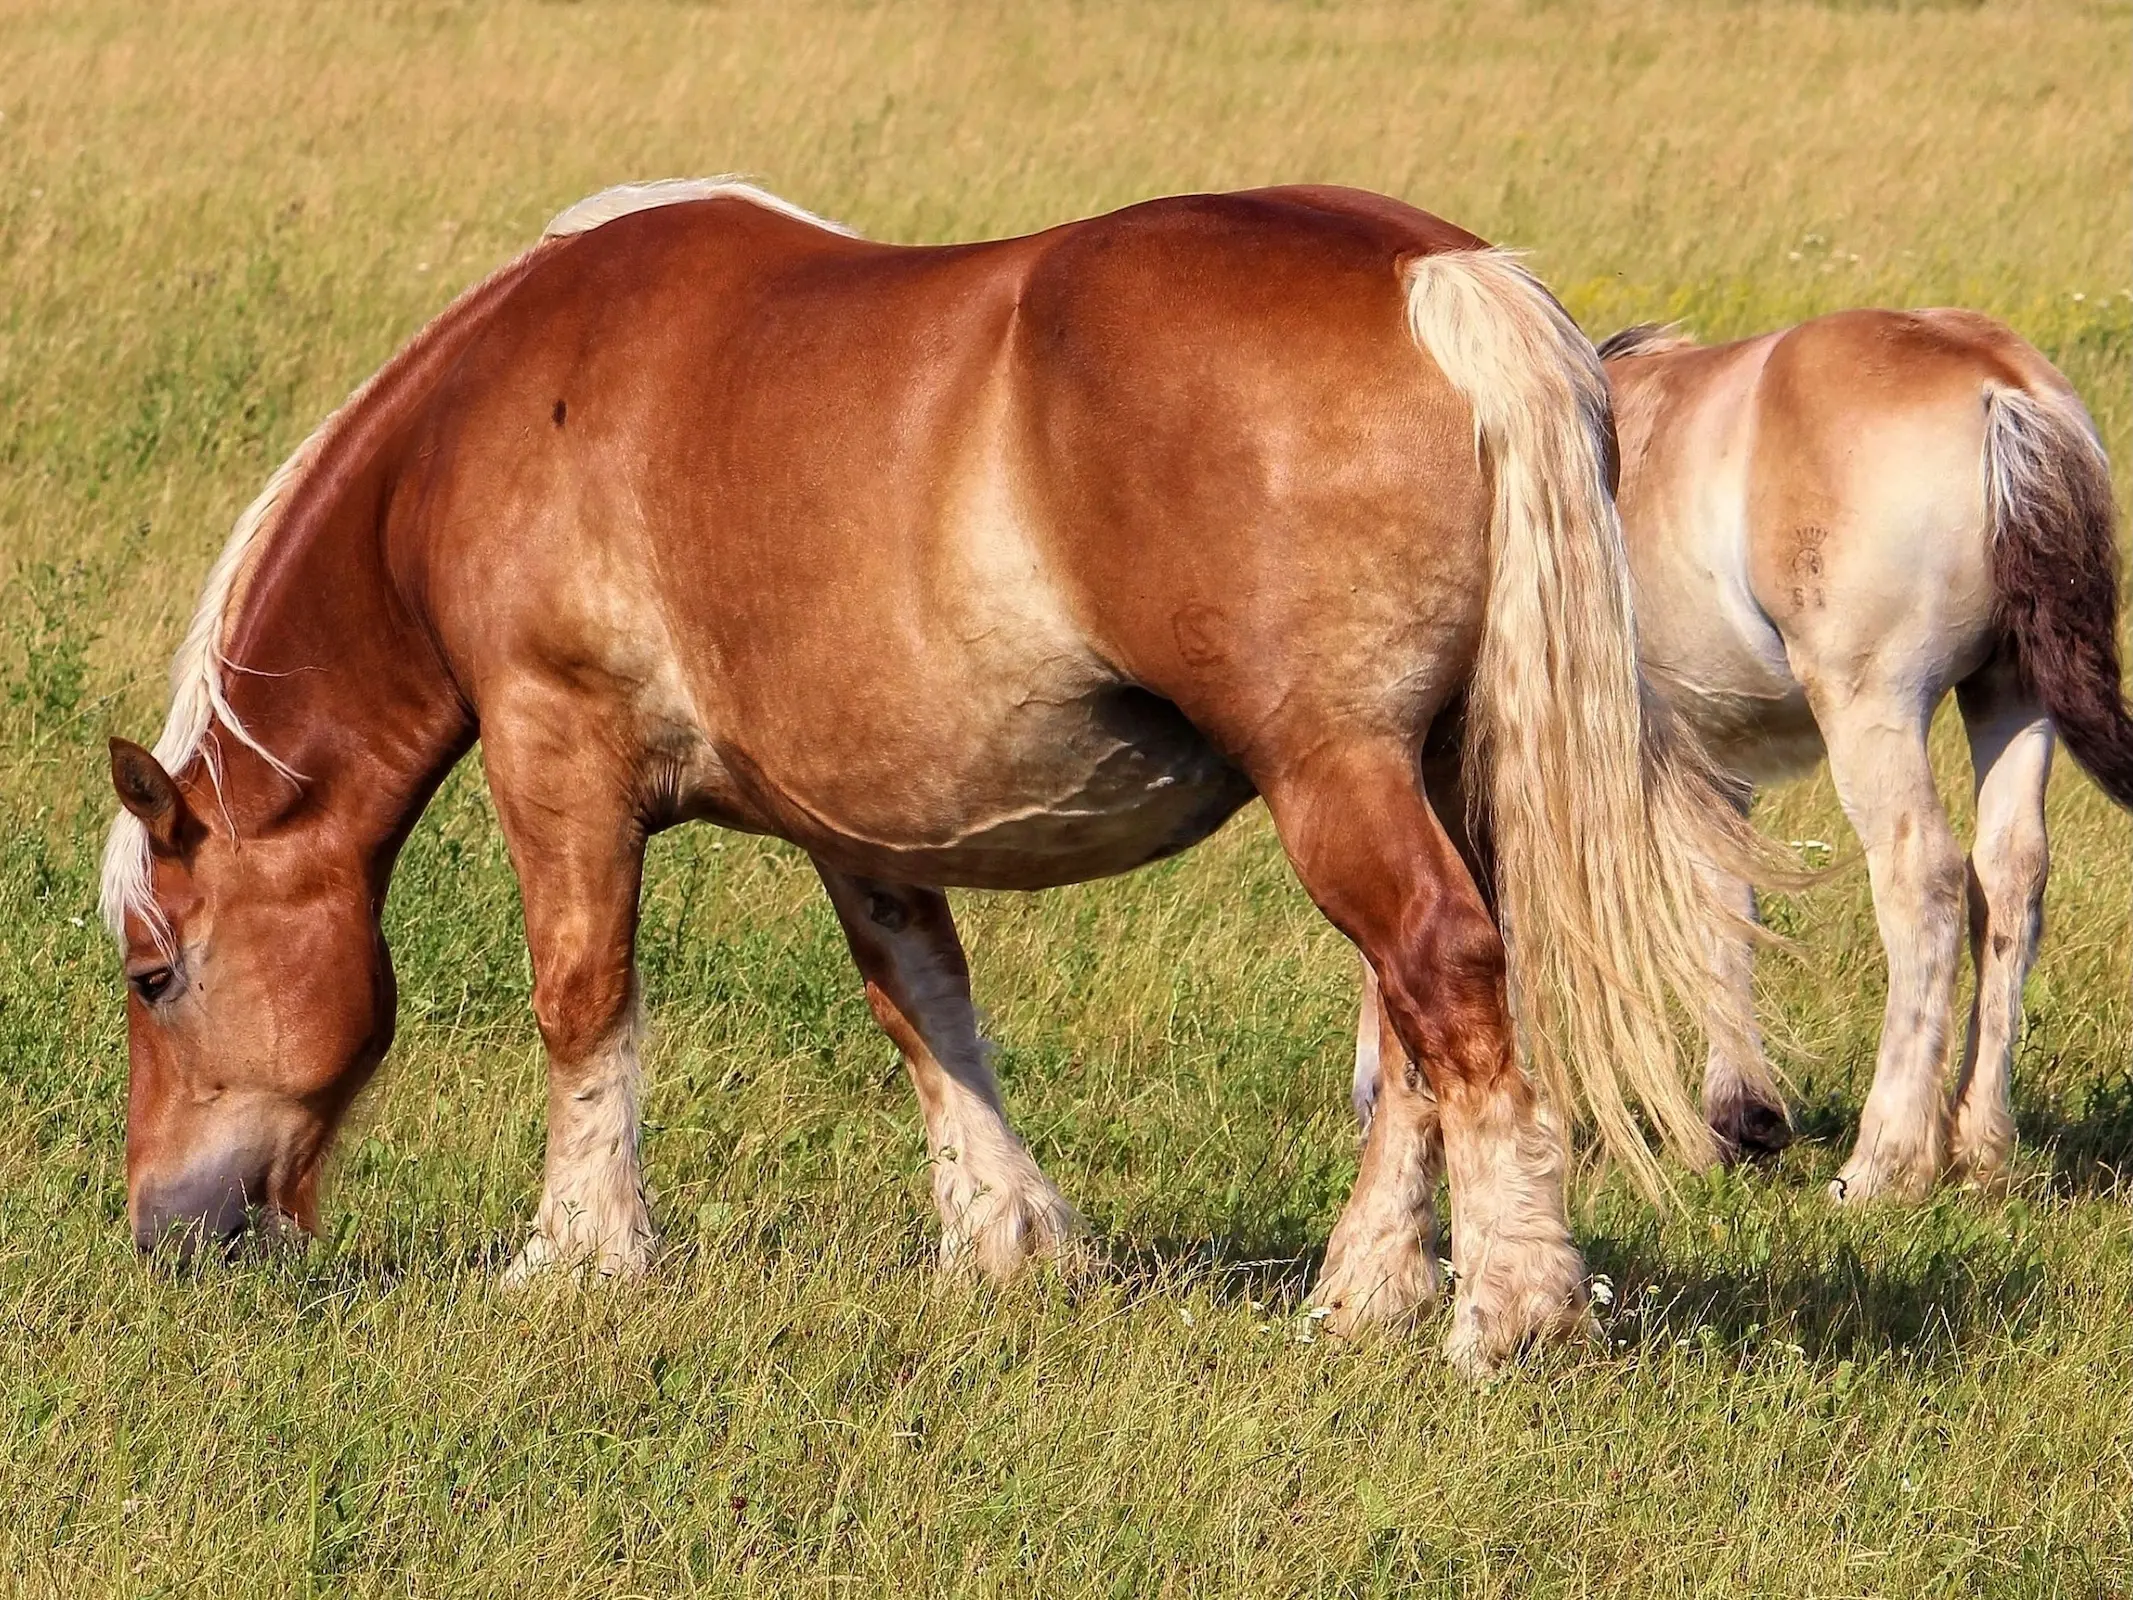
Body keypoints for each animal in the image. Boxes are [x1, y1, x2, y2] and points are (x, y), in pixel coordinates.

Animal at [102, 178, 1756, 1375]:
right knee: (1419, 1023)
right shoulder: (857, 817)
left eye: (152, 975)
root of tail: (1437, 276)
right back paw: (1366, 1297)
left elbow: (583, 1004)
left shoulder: (554, 752)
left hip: (1333, 777)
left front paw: (576, 1259)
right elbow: (923, 1004)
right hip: (1433, 770)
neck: (499, 410)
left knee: (1444, 976)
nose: (161, 1233)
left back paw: (1506, 1316)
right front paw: (1009, 1241)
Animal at [1354, 308, 2132, 1205]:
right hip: (2011, 697)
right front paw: (1739, 1114)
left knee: (1923, 883)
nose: (1367, 1099)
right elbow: (1727, 912)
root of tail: (1998, 386)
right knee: (2009, 879)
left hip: (1873, 707)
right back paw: (1979, 1149)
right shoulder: (1716, 765)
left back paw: (1883, 1162)